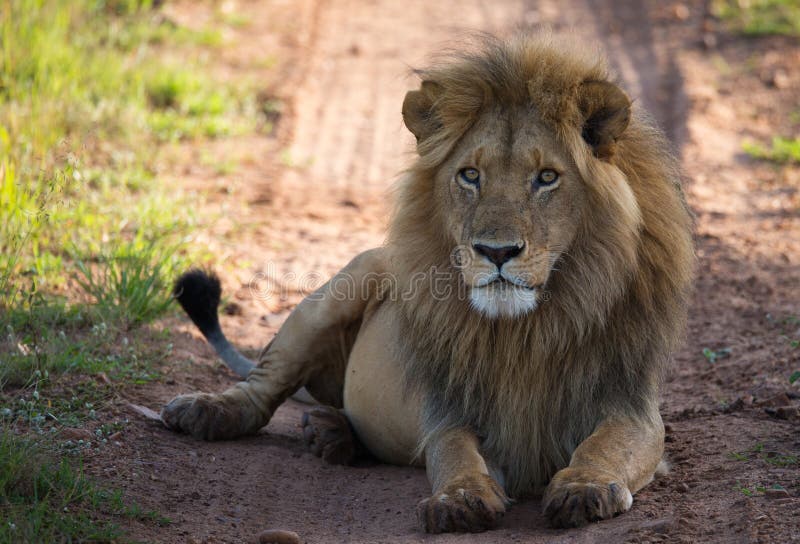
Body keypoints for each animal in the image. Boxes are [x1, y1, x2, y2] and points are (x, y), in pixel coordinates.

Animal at [161, 33, 694, 533]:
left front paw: (584, 488)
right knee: (261, 386)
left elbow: (606, 448)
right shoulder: (451, 408)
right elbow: (452, 452)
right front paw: (458, 500)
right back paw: (208, 412)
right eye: (470, 175)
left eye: (546, 177)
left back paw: (331, 434)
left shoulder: (629, 404)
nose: (496, 252)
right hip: (340, 288)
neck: (526, 330)